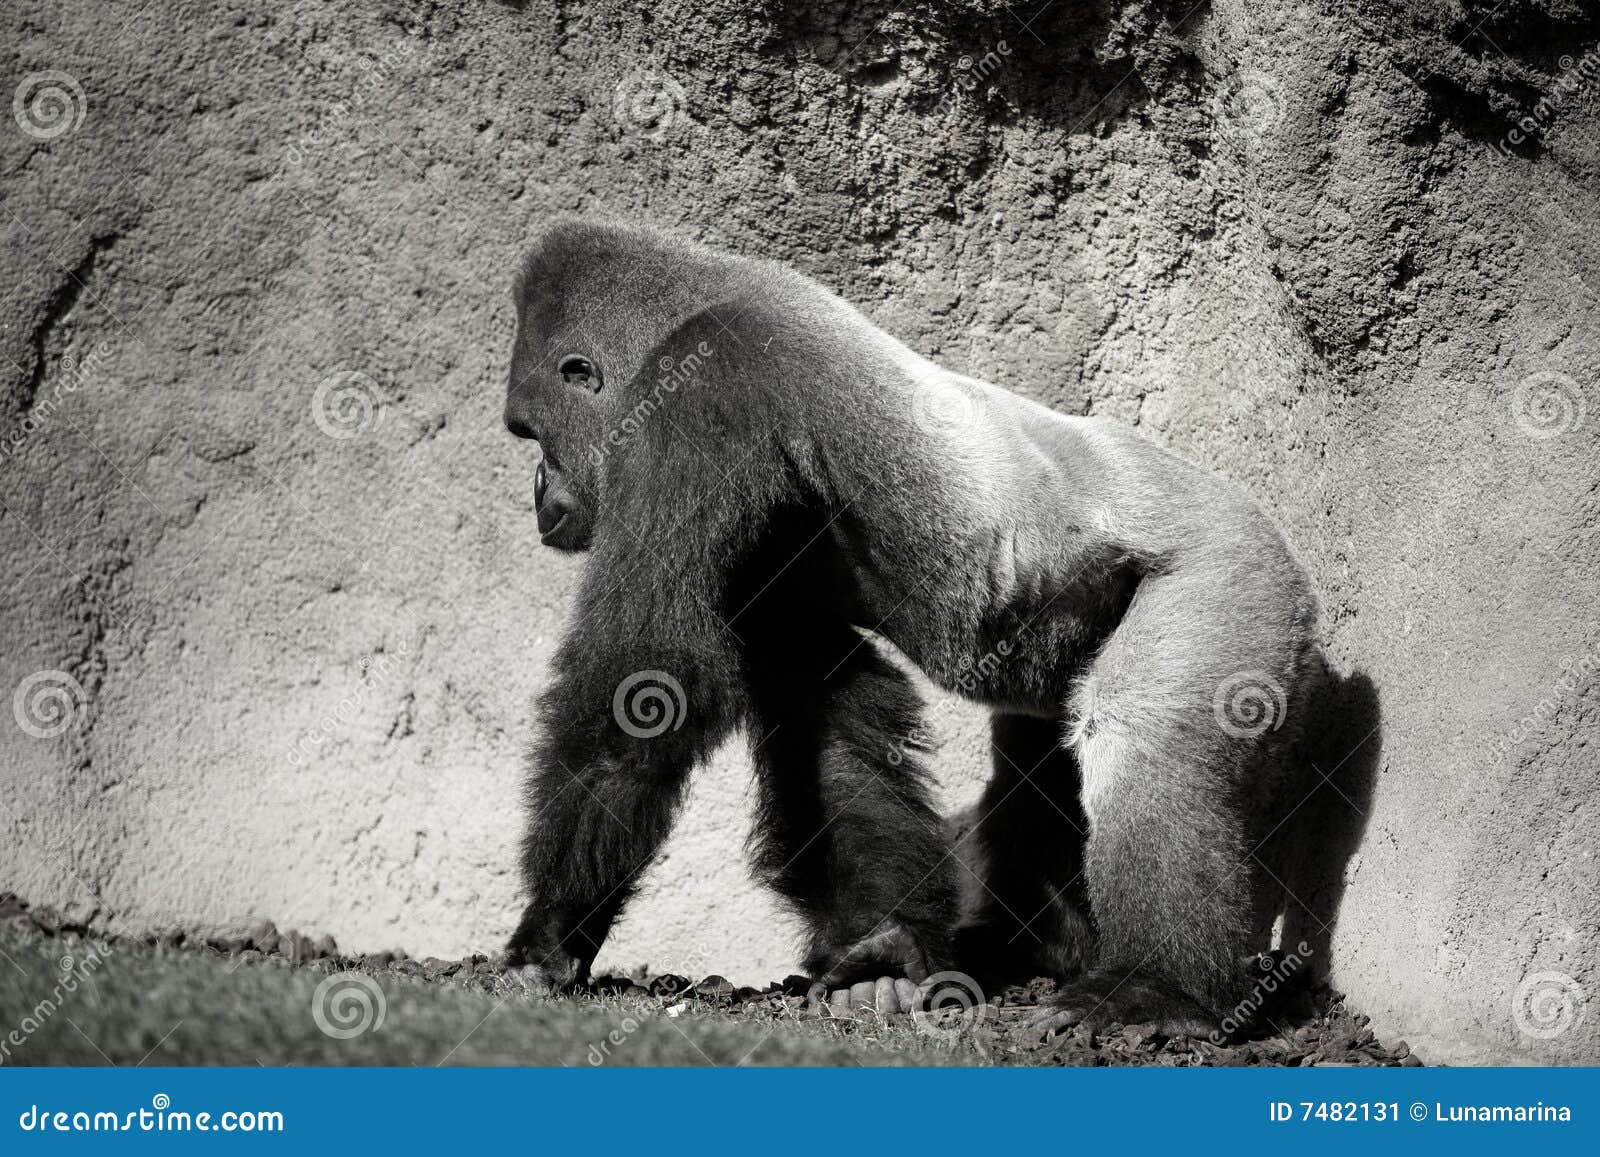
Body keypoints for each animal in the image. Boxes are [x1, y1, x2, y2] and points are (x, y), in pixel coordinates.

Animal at [501, 217, 1323, 1036]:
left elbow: (649, 682)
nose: (536, 489)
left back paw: (1156, 987)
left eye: (530, 433)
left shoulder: (701, 394)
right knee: (1037, 757)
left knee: (1146, 735)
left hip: (1234, 560)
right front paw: (883, 949)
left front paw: (550, 932)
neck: (687, 308)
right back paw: (1034, 947)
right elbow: (820, 714)